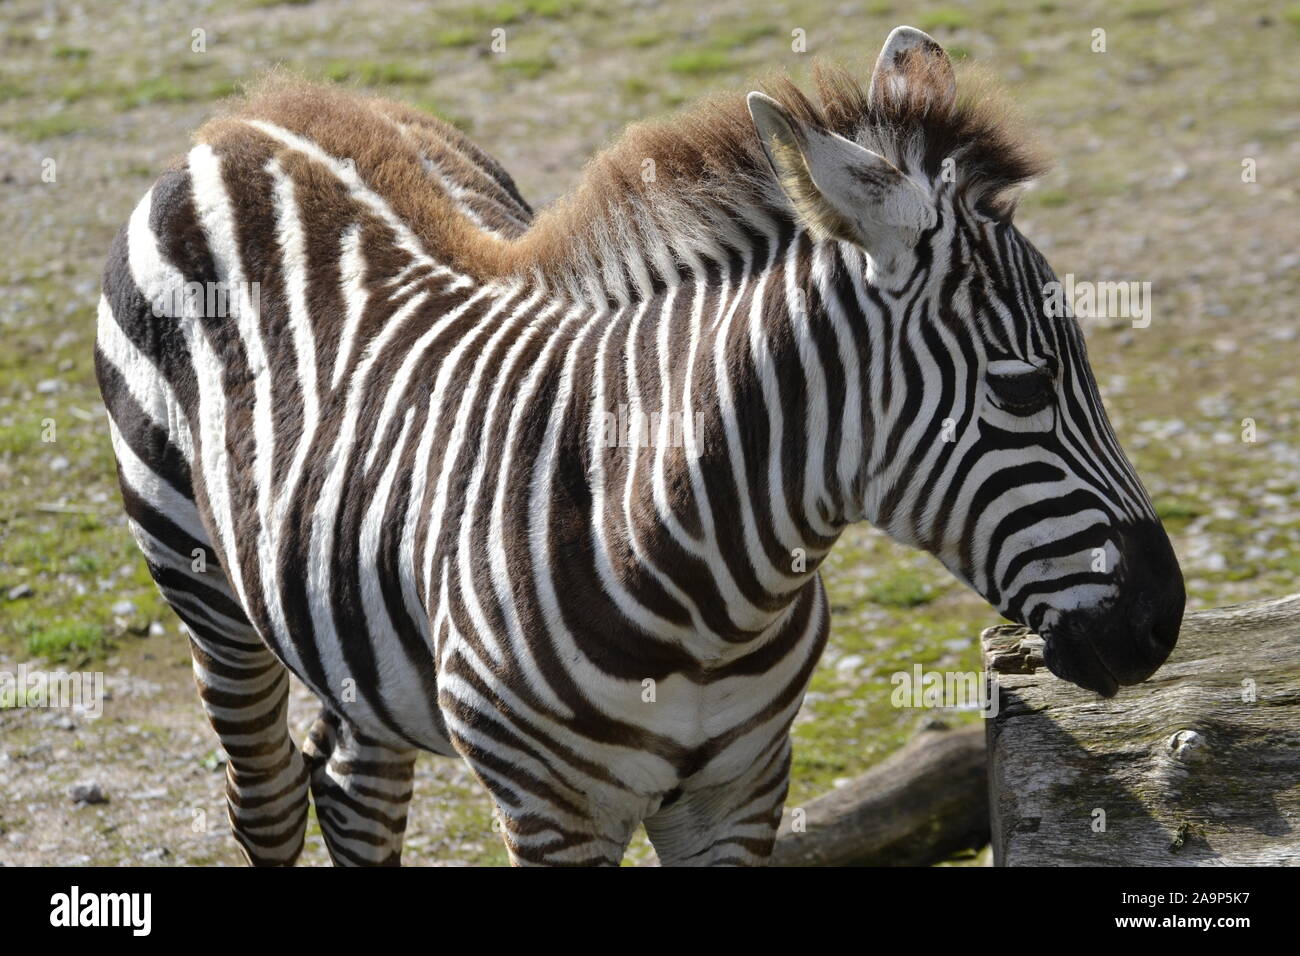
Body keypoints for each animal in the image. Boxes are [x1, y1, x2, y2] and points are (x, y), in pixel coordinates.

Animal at [95, 26, 1184, 866]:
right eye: (1023, 386)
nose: (1162, 620)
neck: (705, 596)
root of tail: (250, 119)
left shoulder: (741, 792)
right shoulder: (553, 812)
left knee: (357, 792)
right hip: (196, 577)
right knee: (268, 797)